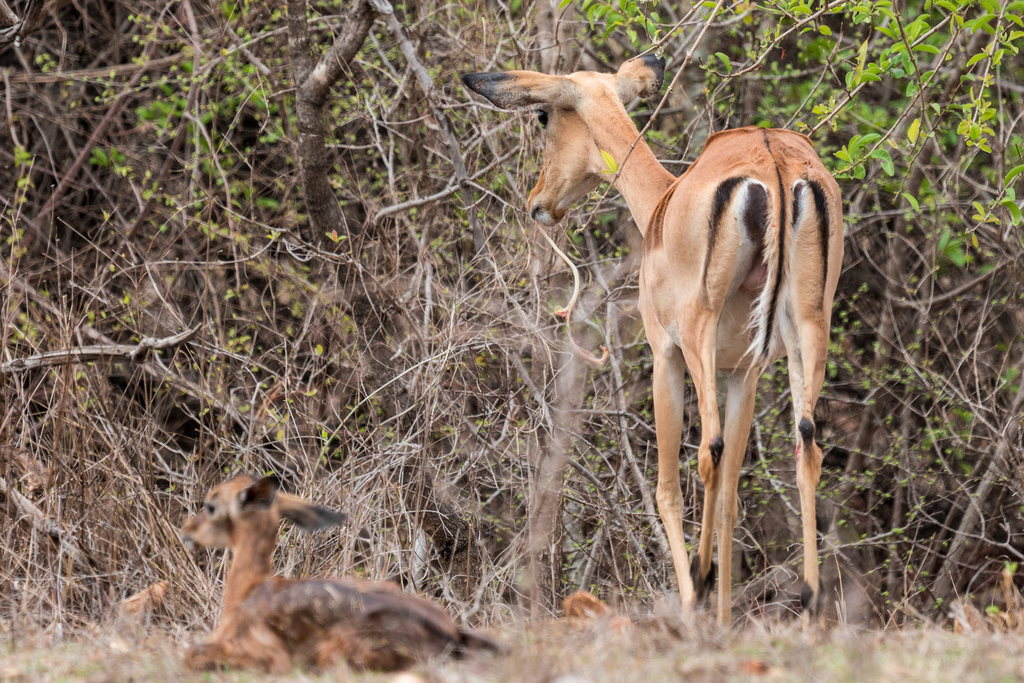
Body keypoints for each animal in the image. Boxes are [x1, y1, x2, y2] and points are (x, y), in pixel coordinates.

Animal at [180, 474, 496, 672]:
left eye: (211, 505)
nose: (186, 532)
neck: (248, 591)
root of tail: (452, 635)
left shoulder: (271, 658)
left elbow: (192, 653)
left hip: (333, 653)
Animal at [462, 55, 843, 625]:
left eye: (543, 117)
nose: (537, 203)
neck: (662, 201)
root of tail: (775, 166)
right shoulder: (745, 371)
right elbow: (731, 499)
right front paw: (723, 623)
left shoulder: (667, 354)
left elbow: (667, 489)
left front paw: (697, 604)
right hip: (810, 328)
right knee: (806, 447)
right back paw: (812, 604)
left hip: (700, 329)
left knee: (707, 449)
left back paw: (702, 583)